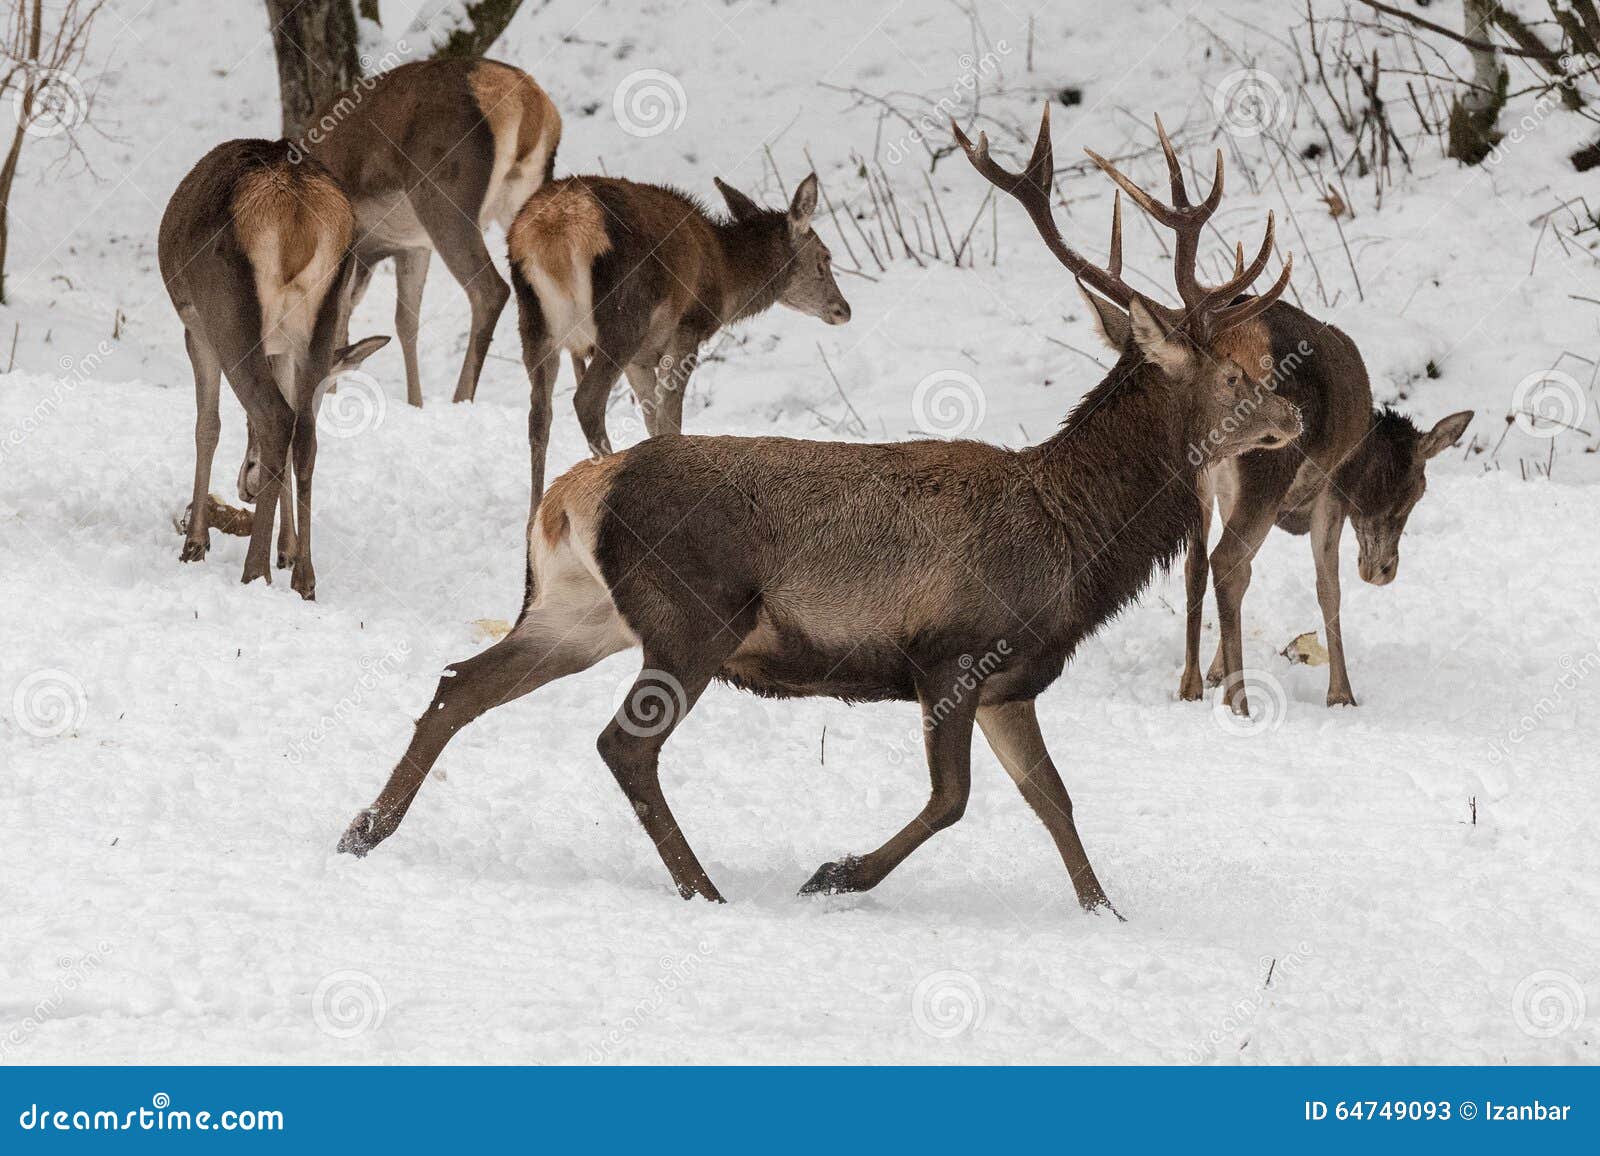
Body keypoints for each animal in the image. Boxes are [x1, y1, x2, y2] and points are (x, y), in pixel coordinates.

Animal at [161, 138, 390, 599]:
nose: (245, 488)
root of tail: (295, 210)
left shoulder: (196, 331)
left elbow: (206, 426)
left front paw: (196, 542)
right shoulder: (285, 350)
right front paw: (286, 549)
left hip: (227, 315)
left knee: (275, 417)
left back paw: (254, 571)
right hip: (325, 318)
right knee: (305, 434)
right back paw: (305, 578)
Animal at [304, 58, 561, 408]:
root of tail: (529, 104)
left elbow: (340, 316)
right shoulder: (413, 246)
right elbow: (406, 321)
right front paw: (416, 403)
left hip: (444, 197)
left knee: (490, 290)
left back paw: (461, 399)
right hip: (526, 199)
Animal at [506, 170, 852, 504]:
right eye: (825, 256)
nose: (843, 309)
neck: (725, 280)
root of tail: (553, 232)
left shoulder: (640, 359)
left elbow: (652, 419)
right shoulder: (688, 328)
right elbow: (669, 420)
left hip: (533, 323)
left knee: (539, 415)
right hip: (623, 317)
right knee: (587, 400)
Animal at [1075, 119, 1473, 712]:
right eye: (1417, 490)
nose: (1383, 572)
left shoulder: (1220, 487)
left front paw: (1214, 670)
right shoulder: (1331, 489)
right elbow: (1327, 585)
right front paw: (1342, 695)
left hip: (1198, 476)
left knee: (1197, 564)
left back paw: (1191, 686)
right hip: (1269, 460)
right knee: (1228, 563)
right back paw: (1238, 702)